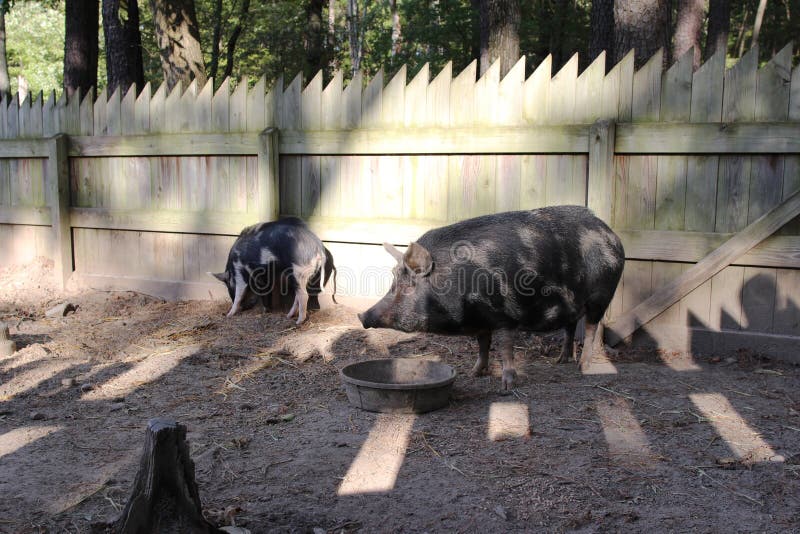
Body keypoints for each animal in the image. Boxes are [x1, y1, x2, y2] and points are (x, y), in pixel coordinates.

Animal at [358, 206, 624, 390]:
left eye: (409, 284)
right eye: (393, 277)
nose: (362, 315)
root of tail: (611, 234)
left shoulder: (506, 315)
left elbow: (504, 348)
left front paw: (506, 385)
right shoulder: (481, 320)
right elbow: (483, 345)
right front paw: (473, 373)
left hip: (601, 296)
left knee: (590, 328)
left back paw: (583, 367)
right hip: (572, 302)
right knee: (570, 327)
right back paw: (561, 361)